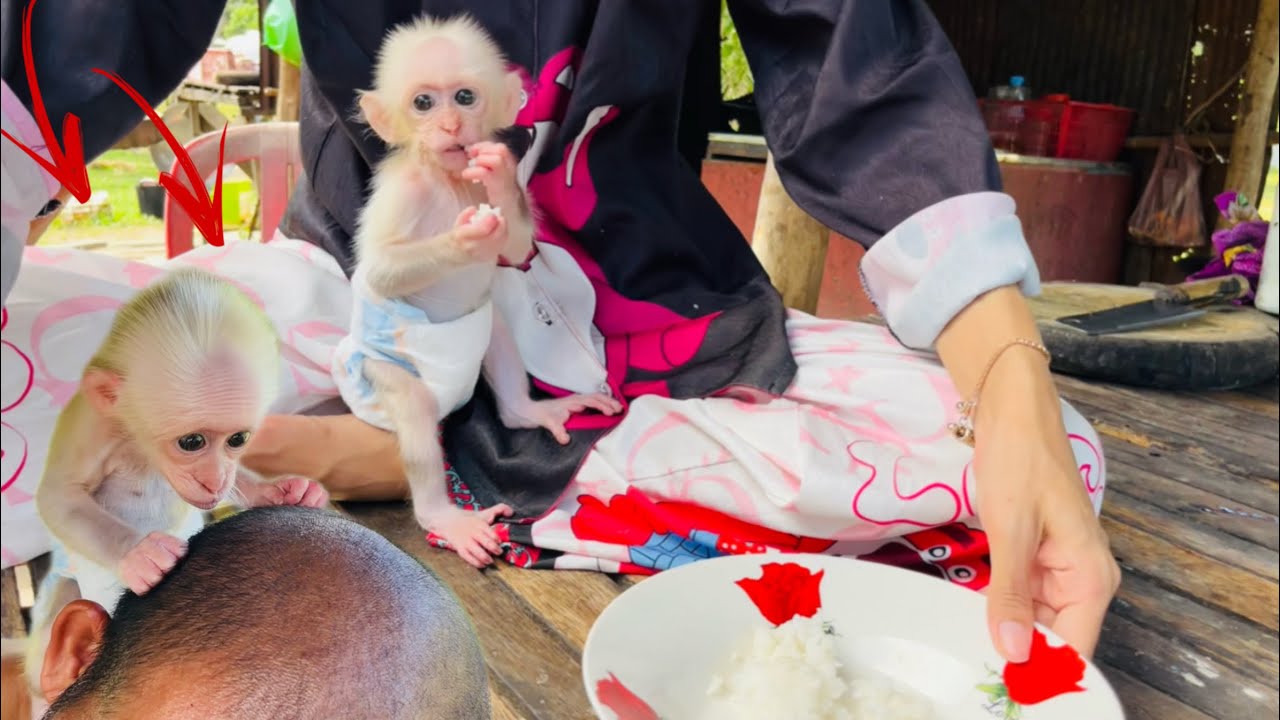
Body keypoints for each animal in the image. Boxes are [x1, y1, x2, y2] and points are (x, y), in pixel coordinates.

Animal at [10, 266, 329, 694]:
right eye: (191, 442)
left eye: (238, 439)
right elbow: (59, 496)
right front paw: (138, 553)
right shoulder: (91, 425)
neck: (140, 447)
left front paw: (278, 490)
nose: (215, 481)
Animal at [331, 14, 622, 569]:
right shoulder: (405, 190)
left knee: (499, 336)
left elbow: (517, 246)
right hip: (378, 378)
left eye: (464, 97)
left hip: (479, 336)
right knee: (415, 410)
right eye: (423, 103)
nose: (450, 127)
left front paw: (501, 178)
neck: (447, 176)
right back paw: (443, 516)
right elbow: (381, 270)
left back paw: (529, 411)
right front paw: (464, 240)